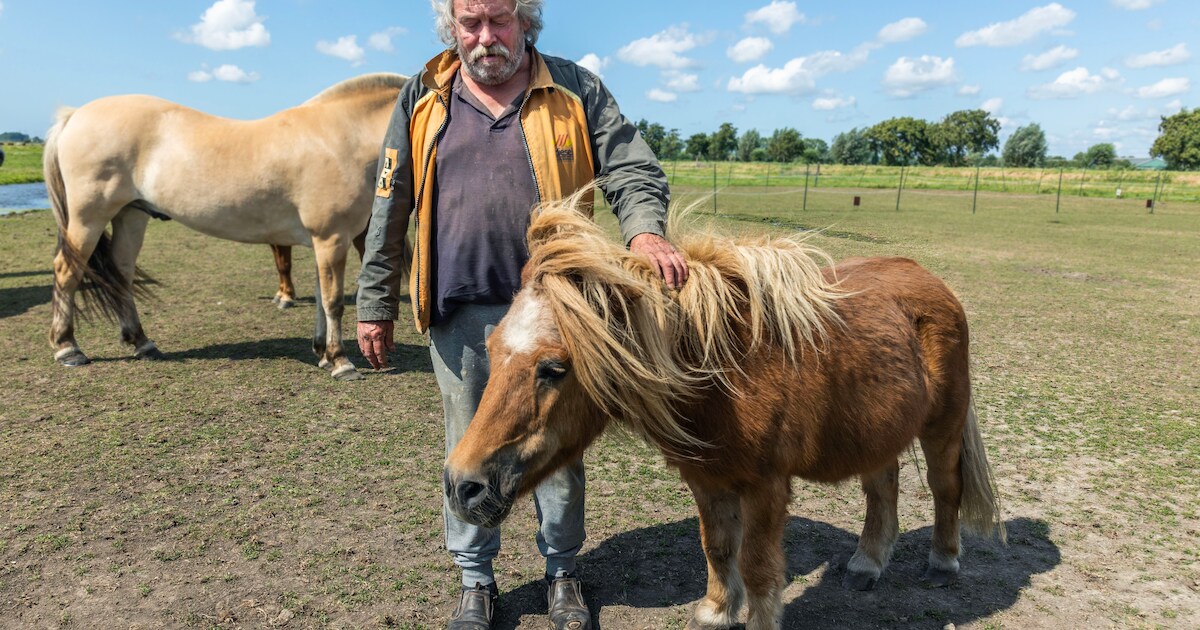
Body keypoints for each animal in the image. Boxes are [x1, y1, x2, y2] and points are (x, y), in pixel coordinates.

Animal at [43, 73, 410, 379]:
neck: (340, 138)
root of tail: (74, 115)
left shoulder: (326, 242)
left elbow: (322, 297)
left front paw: (322, 352)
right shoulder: (331, 238)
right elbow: (333, 301)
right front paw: (340, 361)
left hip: (131, 215)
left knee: (121, 272)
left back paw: (141, 342)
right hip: (88, 218)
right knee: (66, 271)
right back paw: (67, 348)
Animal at [442, 194, 1006, 629]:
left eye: (554, 367)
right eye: (491, 349)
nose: (461, 485)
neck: (722, 374)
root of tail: (930, 280)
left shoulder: (766, 486)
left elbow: (757, 566)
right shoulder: (706, 480)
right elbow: (716, 547)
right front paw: (715, 611)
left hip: (943, 427)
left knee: (945, 488)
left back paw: (943, 562)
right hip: (877, 430)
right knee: (882, 488)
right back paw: (867, 565)